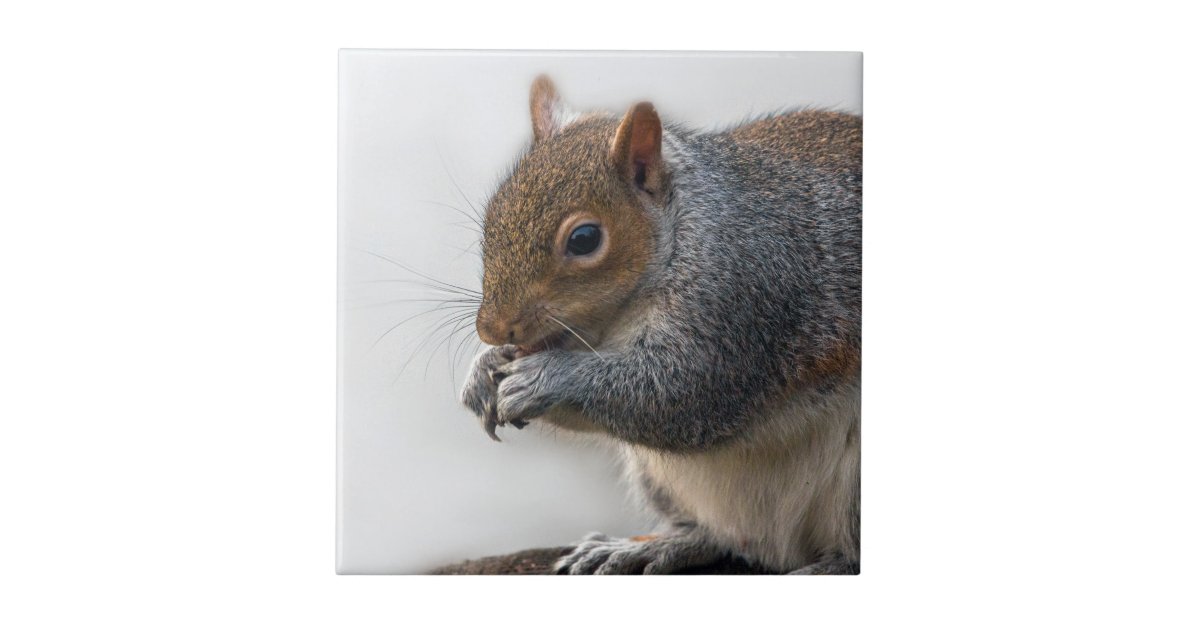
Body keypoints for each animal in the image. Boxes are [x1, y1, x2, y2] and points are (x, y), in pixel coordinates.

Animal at [459, 76, 861, 575]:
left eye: (585, 238)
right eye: (492, 217)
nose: (493, 329)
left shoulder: (741, 299)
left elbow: (677, 394)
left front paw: (542, 379)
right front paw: (482, 370)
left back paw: (830, 564)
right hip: (662, 483)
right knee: (725, 539)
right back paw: (654, 545)